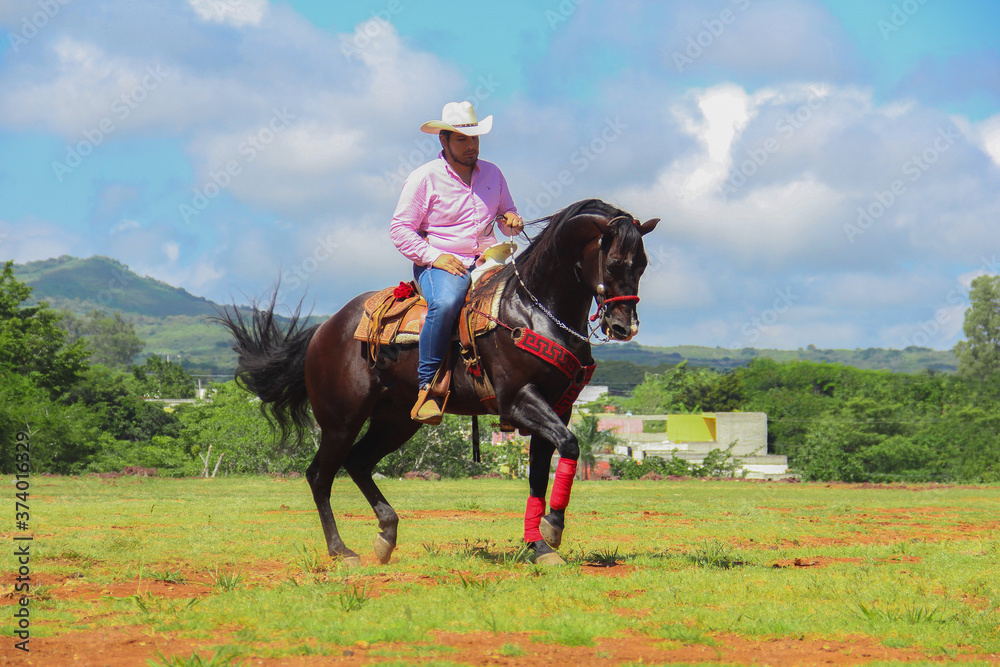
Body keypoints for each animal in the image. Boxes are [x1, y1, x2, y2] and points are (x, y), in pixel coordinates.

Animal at [216, 198, 658, 566]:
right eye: (614, 261)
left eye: (642, 265)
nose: (625, 327)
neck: (533, 311)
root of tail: (322, 330)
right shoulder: (519, 401)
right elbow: (569, 444)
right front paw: (550, 530)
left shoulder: (557, 407)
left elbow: (541, 471)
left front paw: (540, 544)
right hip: (341, 420)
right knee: (320, 476)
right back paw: (342, 550)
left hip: (397, 421)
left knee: (358, 464)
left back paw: (386, 535)